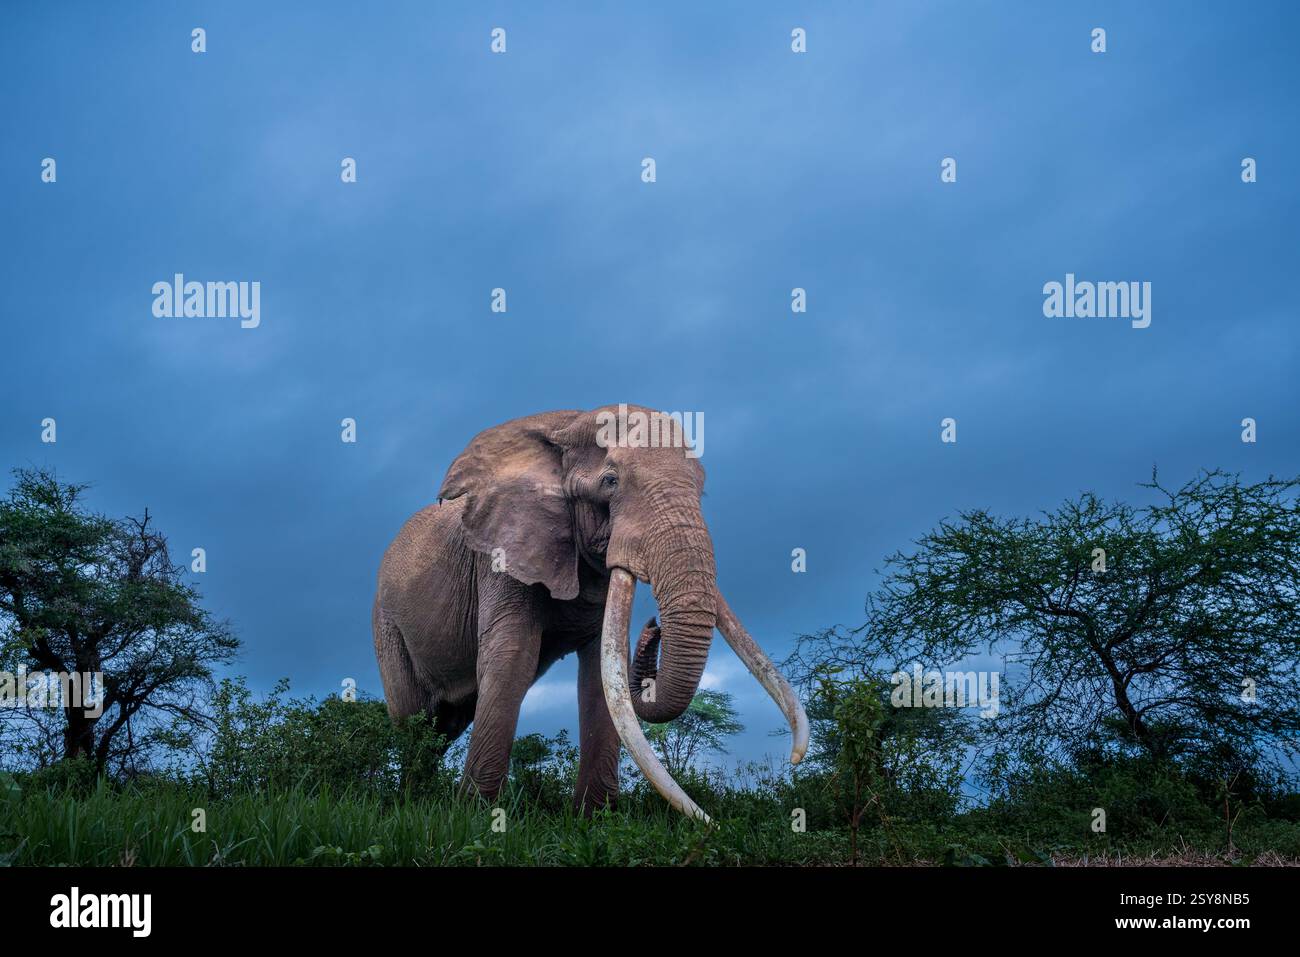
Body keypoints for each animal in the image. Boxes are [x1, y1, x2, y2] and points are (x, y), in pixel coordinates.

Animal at [372, 405, 808, 821]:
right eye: (611, 482)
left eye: (702, 490)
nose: (654, 627)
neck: (568, 427)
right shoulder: (501, 550)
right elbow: (513, 658)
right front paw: (476, 817)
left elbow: (600, 671)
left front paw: (595, 819)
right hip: (387, 624)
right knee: (414, 719)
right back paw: (410, 803)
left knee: (446, 724)